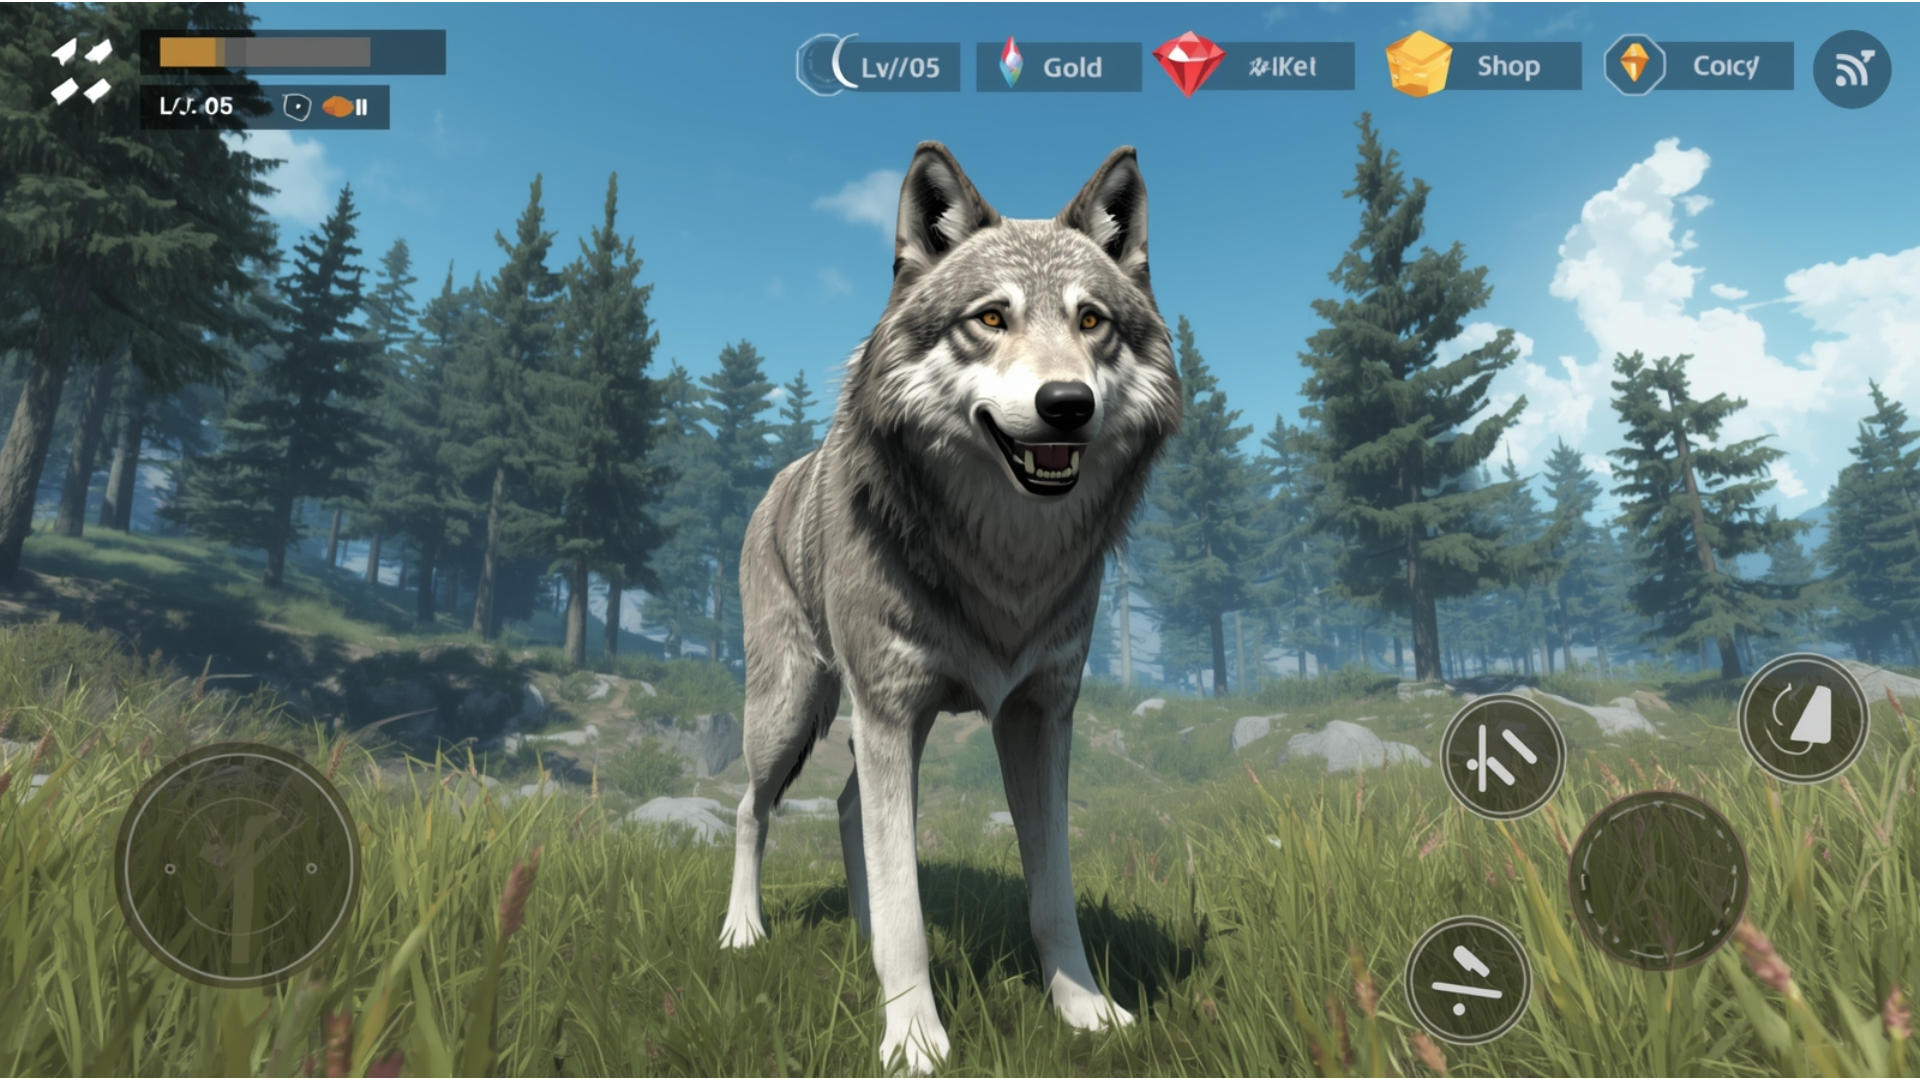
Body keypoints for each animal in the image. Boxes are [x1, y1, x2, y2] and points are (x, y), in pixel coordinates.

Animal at [720, 142, 1181, 1073]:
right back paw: (744, 931)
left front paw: (1086, 1012)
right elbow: (908, 910)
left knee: (848, 810)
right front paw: (912, 1039)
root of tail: (783, 475)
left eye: (1091, 322)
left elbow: (1050, 893)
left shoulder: (1038, 716)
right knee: (751, 808)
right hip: (792, 713)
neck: (1006, 567)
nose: (1066, 405)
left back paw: (857, 940)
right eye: (992, 318)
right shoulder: (891, 713)